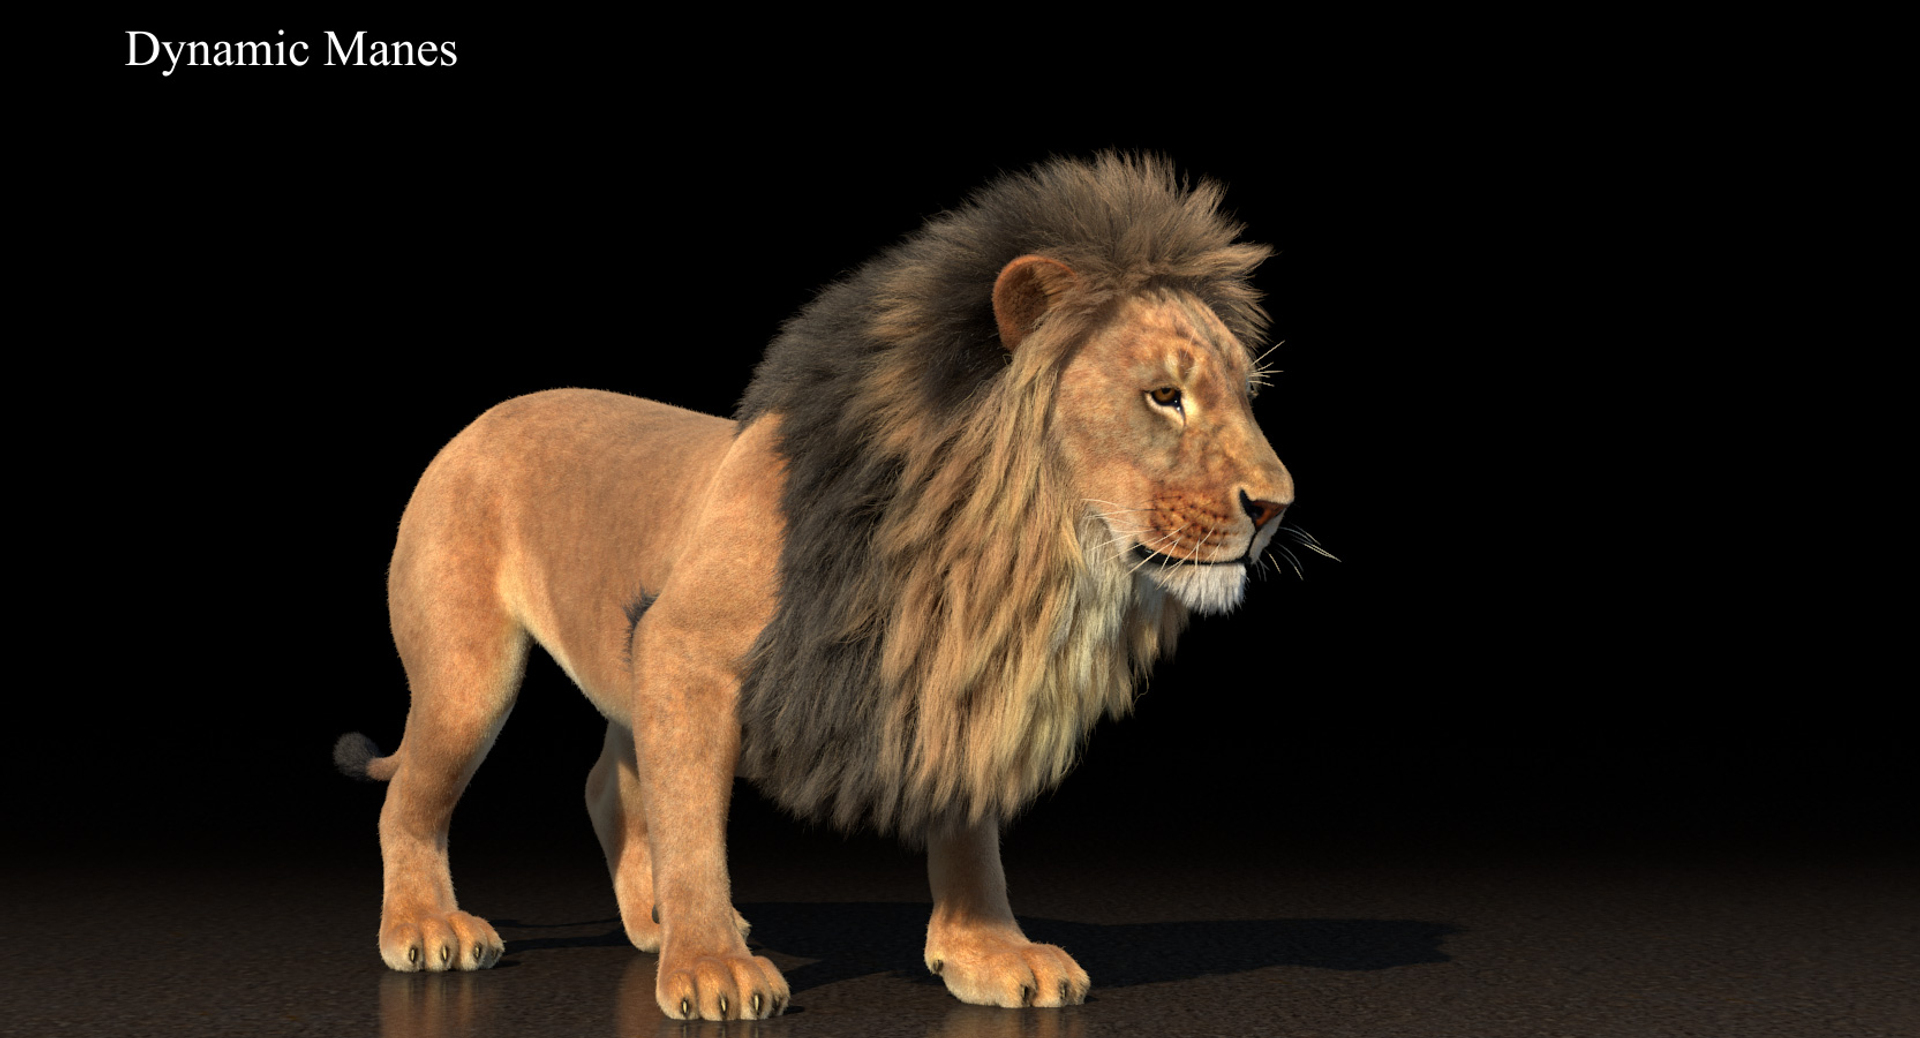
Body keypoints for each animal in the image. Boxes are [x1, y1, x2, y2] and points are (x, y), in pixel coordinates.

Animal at [335, 153, 1294, 1020]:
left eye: (1247, 393)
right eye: (1165, 396)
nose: (1277, 506)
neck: (996, 557)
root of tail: (480, 420)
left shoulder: (951, 675)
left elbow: (967, 832)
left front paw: (987, 952)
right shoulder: (687, 645)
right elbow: (696, 826)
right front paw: (711, 968)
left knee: (609, 783)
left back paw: (649, 922)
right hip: (470, 677)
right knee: (411, 800)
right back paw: (429, 929)